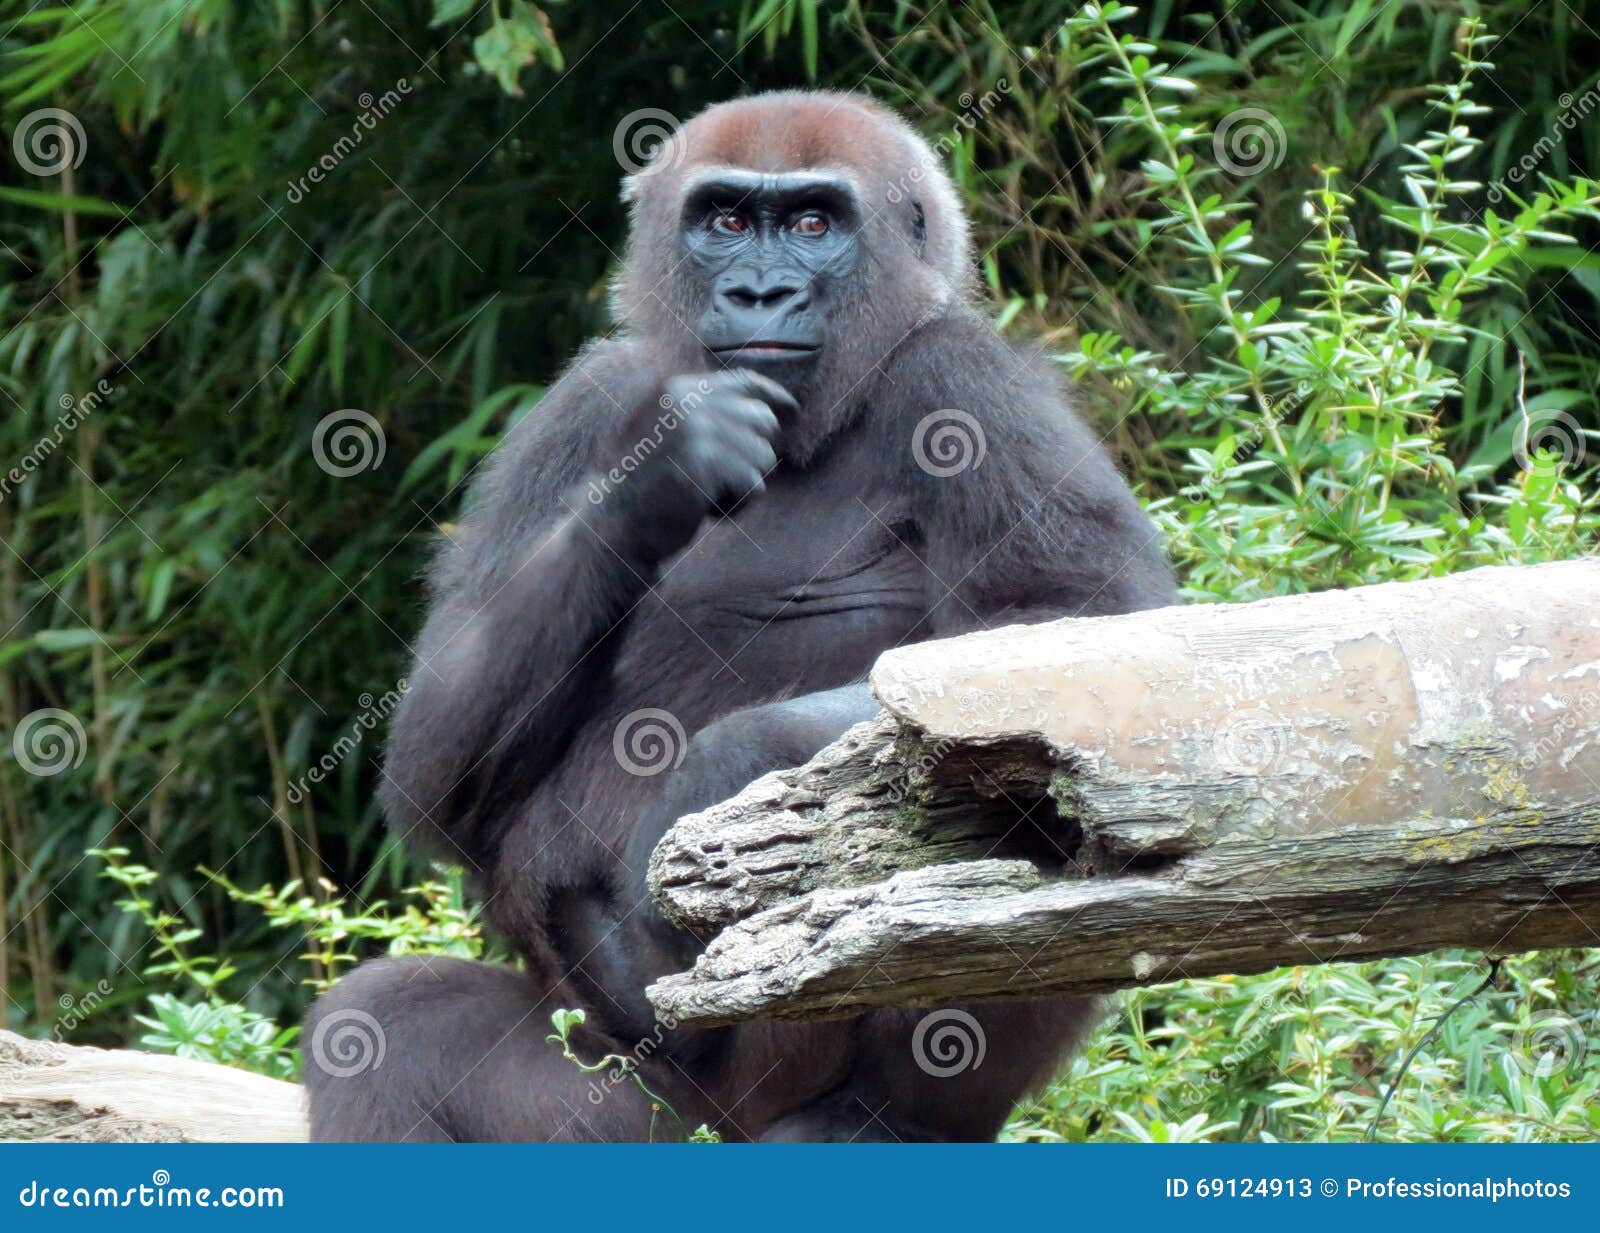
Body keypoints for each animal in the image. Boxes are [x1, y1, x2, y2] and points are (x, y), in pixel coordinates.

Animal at [304, 90, 1175, 1142]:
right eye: (723, 220)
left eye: (812, 224)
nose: (760, 293)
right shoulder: (583, 398)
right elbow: (438, 757)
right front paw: (661, 470)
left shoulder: (961, 374)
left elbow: (1082, 635)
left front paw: (720, 767)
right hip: (628, 1102)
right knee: (378, 1023)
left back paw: (882, 1119)